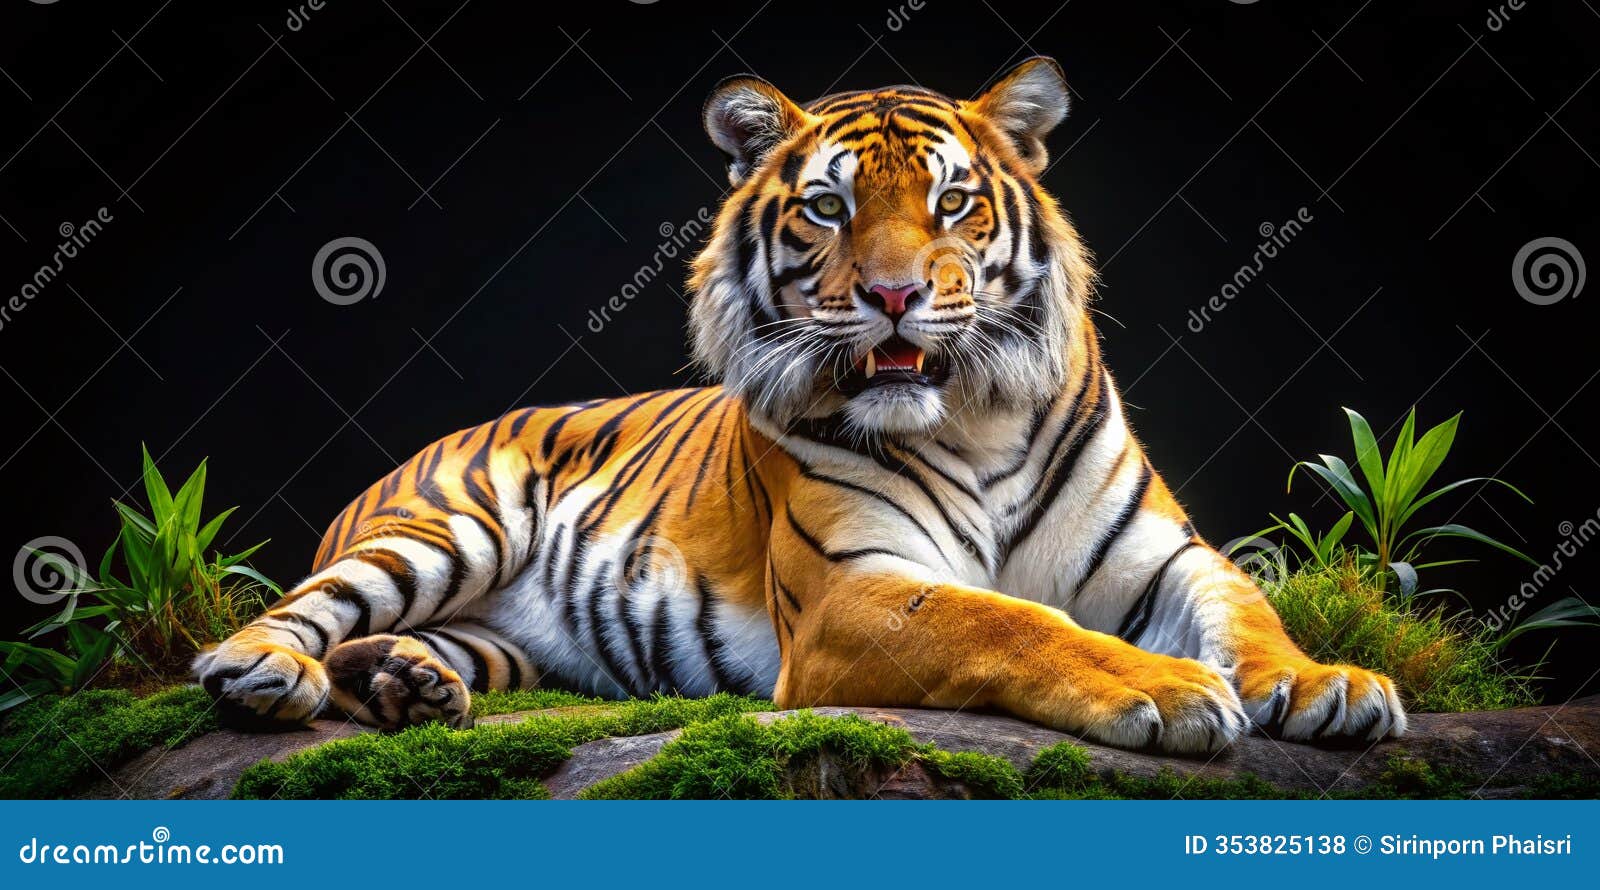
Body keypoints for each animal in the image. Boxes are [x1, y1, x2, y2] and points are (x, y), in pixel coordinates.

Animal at [196, 57, 1406, 752]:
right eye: (828, 208)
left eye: (952, 203)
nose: (894, 294)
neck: (976, 415)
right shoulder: (853, 591)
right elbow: (1012, 620)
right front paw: (1169, 689)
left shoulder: (1166, 557)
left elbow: (1249, 609)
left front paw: (1330, 685)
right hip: (446, 527)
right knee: (290, 614)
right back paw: (266, 675)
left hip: (498, 639)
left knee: (411, 646)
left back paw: (409, 687)